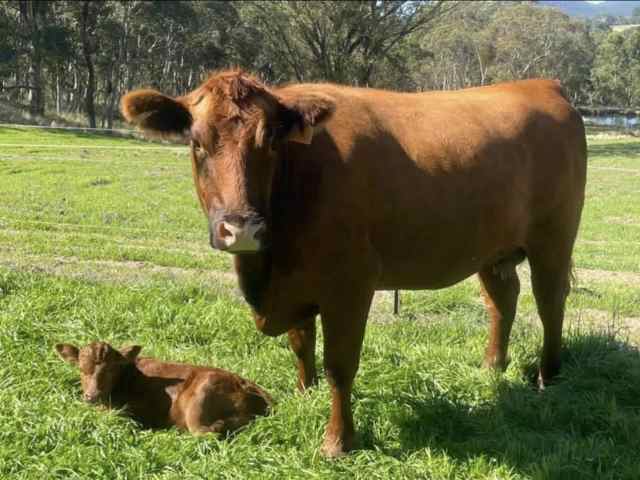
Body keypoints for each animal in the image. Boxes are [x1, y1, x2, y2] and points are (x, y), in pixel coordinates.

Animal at [120, 70, 587, 457]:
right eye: (196, 143)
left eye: (270, 143)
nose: (243, 228)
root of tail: (543, 84)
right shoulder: (296, 285)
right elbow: (301, 345)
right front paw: (304, 395)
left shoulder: (349, 286)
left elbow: (339, 366)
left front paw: (338, 442)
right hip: (493, 250)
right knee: (503, 300)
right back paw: (492, 367)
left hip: (554, 239)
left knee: (550, 303)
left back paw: (547, 376)